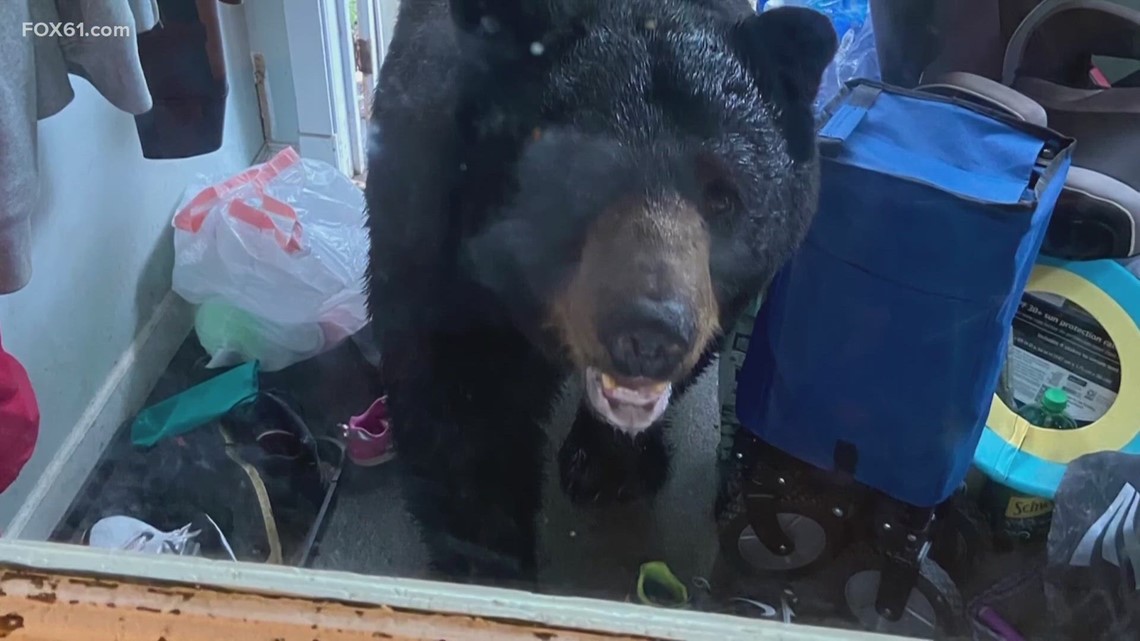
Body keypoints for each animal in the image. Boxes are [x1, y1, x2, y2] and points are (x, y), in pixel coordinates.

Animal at [364, 0, 838, 588]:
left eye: (723, 197)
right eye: (583, 181)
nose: (652, 331)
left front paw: (606, 468)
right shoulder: (435, 233)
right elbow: (458, 402)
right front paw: (490, 564)